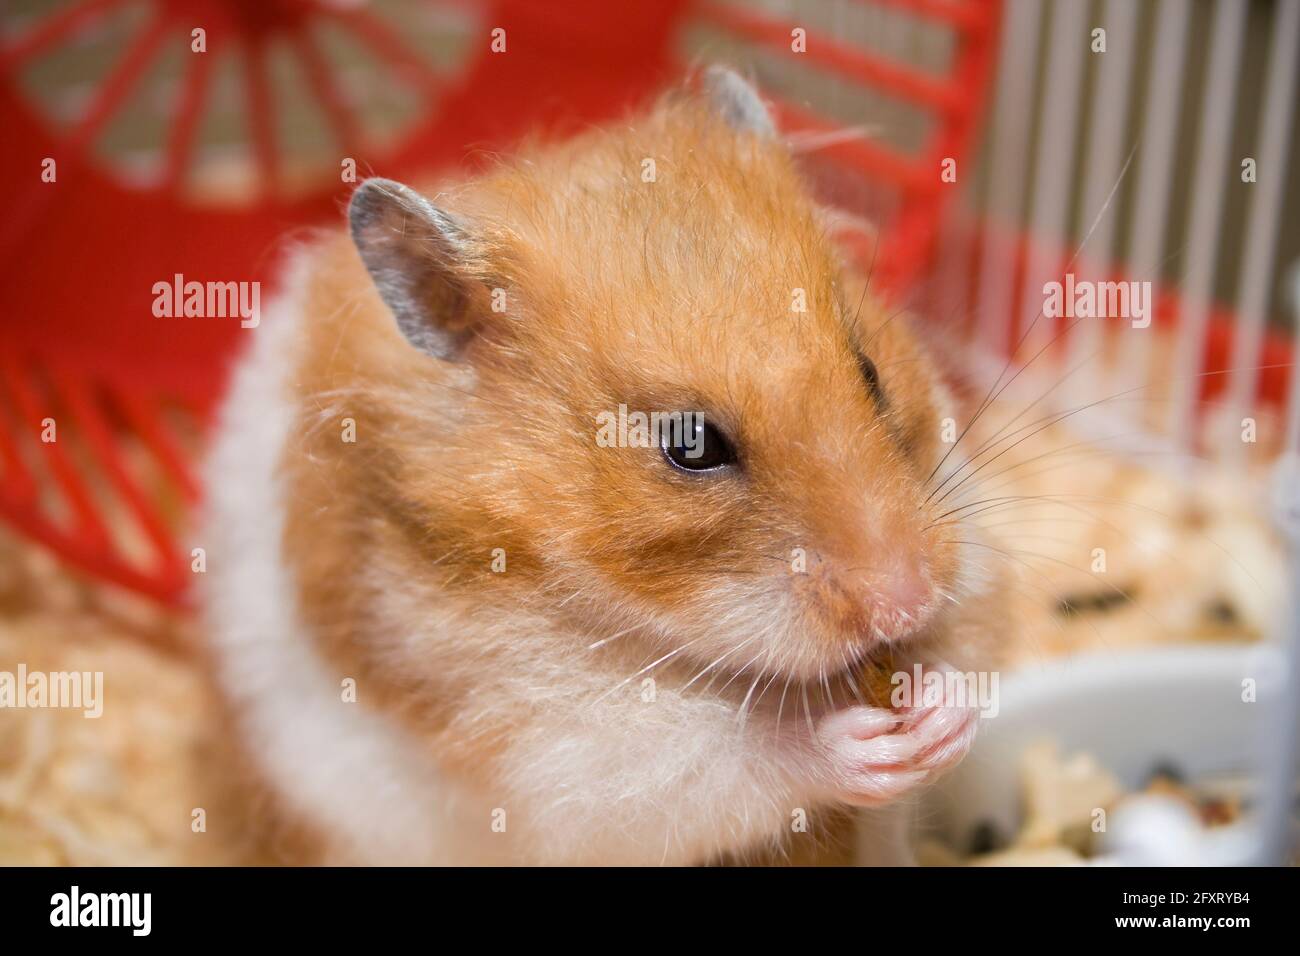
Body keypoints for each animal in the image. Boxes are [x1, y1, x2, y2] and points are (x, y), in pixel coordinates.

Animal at [199, 67, 998, 866]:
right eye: (690, 444)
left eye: (869, 372)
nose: (908, 602)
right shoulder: (547, 738)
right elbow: (722, 756)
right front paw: (855, 741)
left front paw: (942, 708)